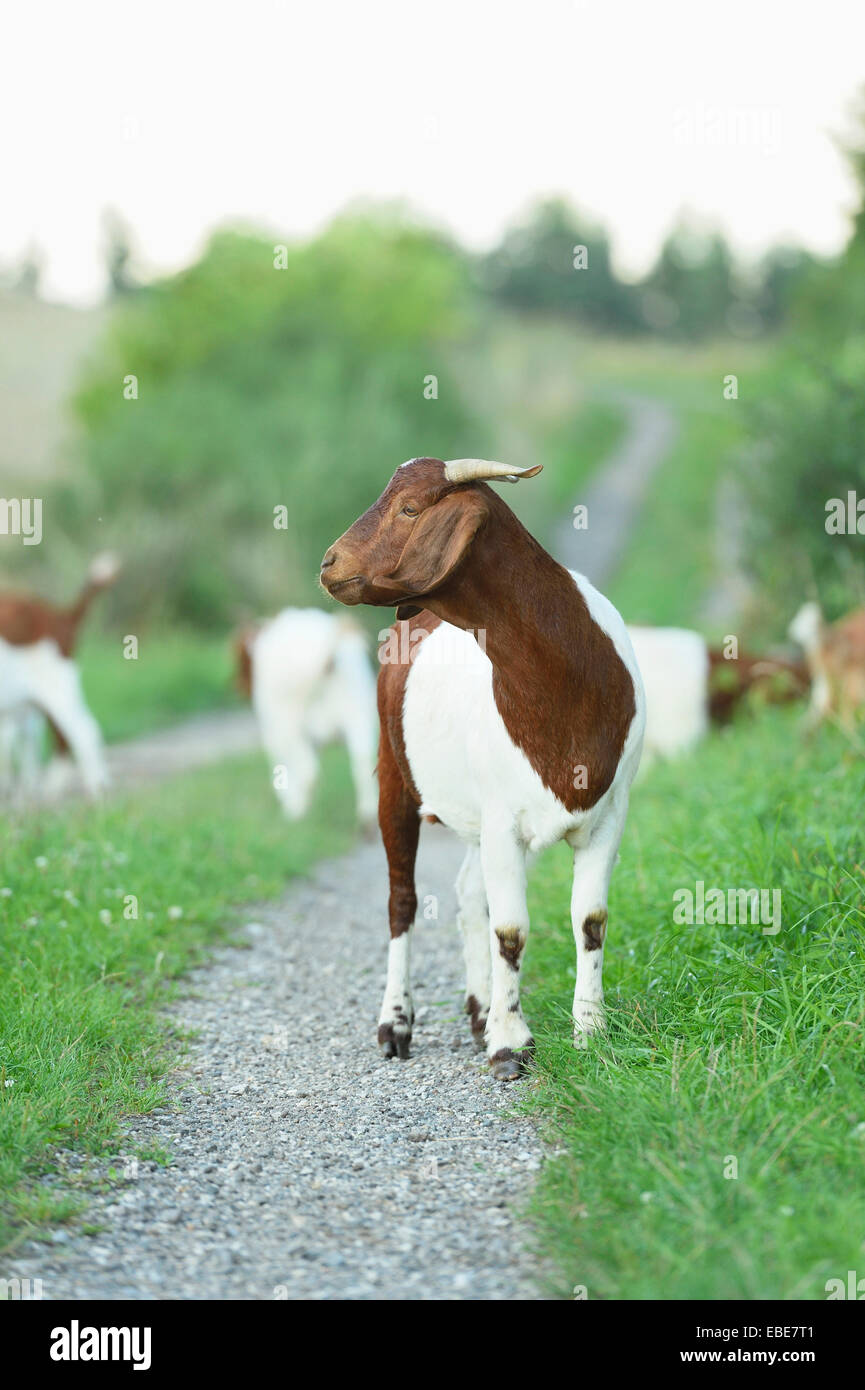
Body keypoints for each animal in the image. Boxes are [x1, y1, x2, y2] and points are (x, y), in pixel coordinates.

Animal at [237, 608, 378, 824]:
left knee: (308, 771)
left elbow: (283, 764)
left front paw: (290, 801)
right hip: (358, 713)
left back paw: (296, 811)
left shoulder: (274, 733)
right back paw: (368, 813)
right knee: (363, 761)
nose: (238, 685)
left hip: (290, 721)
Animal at [320, 456, 645, 1080]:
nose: (329, 563)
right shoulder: (502, 819)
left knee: (469, 892)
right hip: (395, 777)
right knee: (402, 901)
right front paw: (511, 1046)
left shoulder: (609, 814)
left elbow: (590, 920)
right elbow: (511, 931)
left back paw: (477, 1013)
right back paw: (396, 1024)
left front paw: (591, 1034)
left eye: (410, 508)